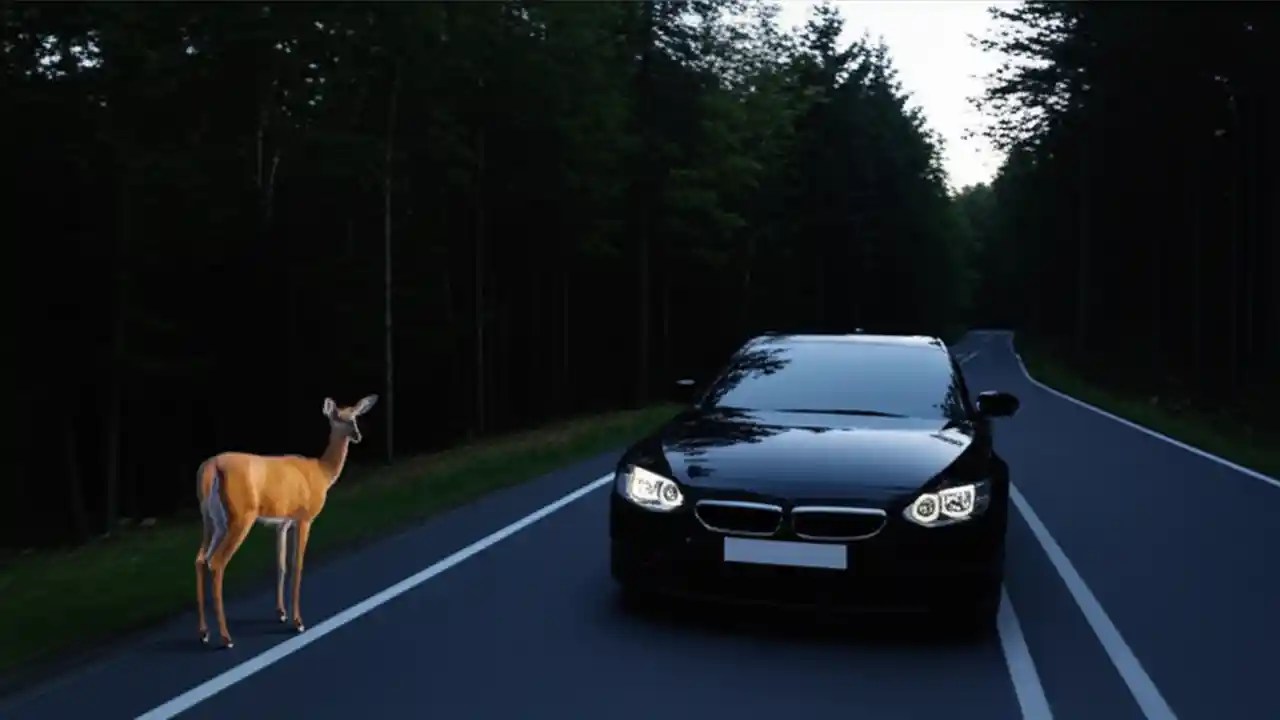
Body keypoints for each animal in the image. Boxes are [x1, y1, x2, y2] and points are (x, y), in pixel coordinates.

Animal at [194, 394, 378, 649]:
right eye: (337, 417)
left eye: (355, 416)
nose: (357, 435)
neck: (322, 473)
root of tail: (211, 467)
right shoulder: (305, 517)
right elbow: (297, 565)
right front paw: (298, 622)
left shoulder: (283, 523)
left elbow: (281, 565)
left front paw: (280, 613)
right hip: (240, 515)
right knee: (217, 562)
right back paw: (225, 637)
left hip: (211, 520)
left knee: (201, 559)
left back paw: (204, 633)